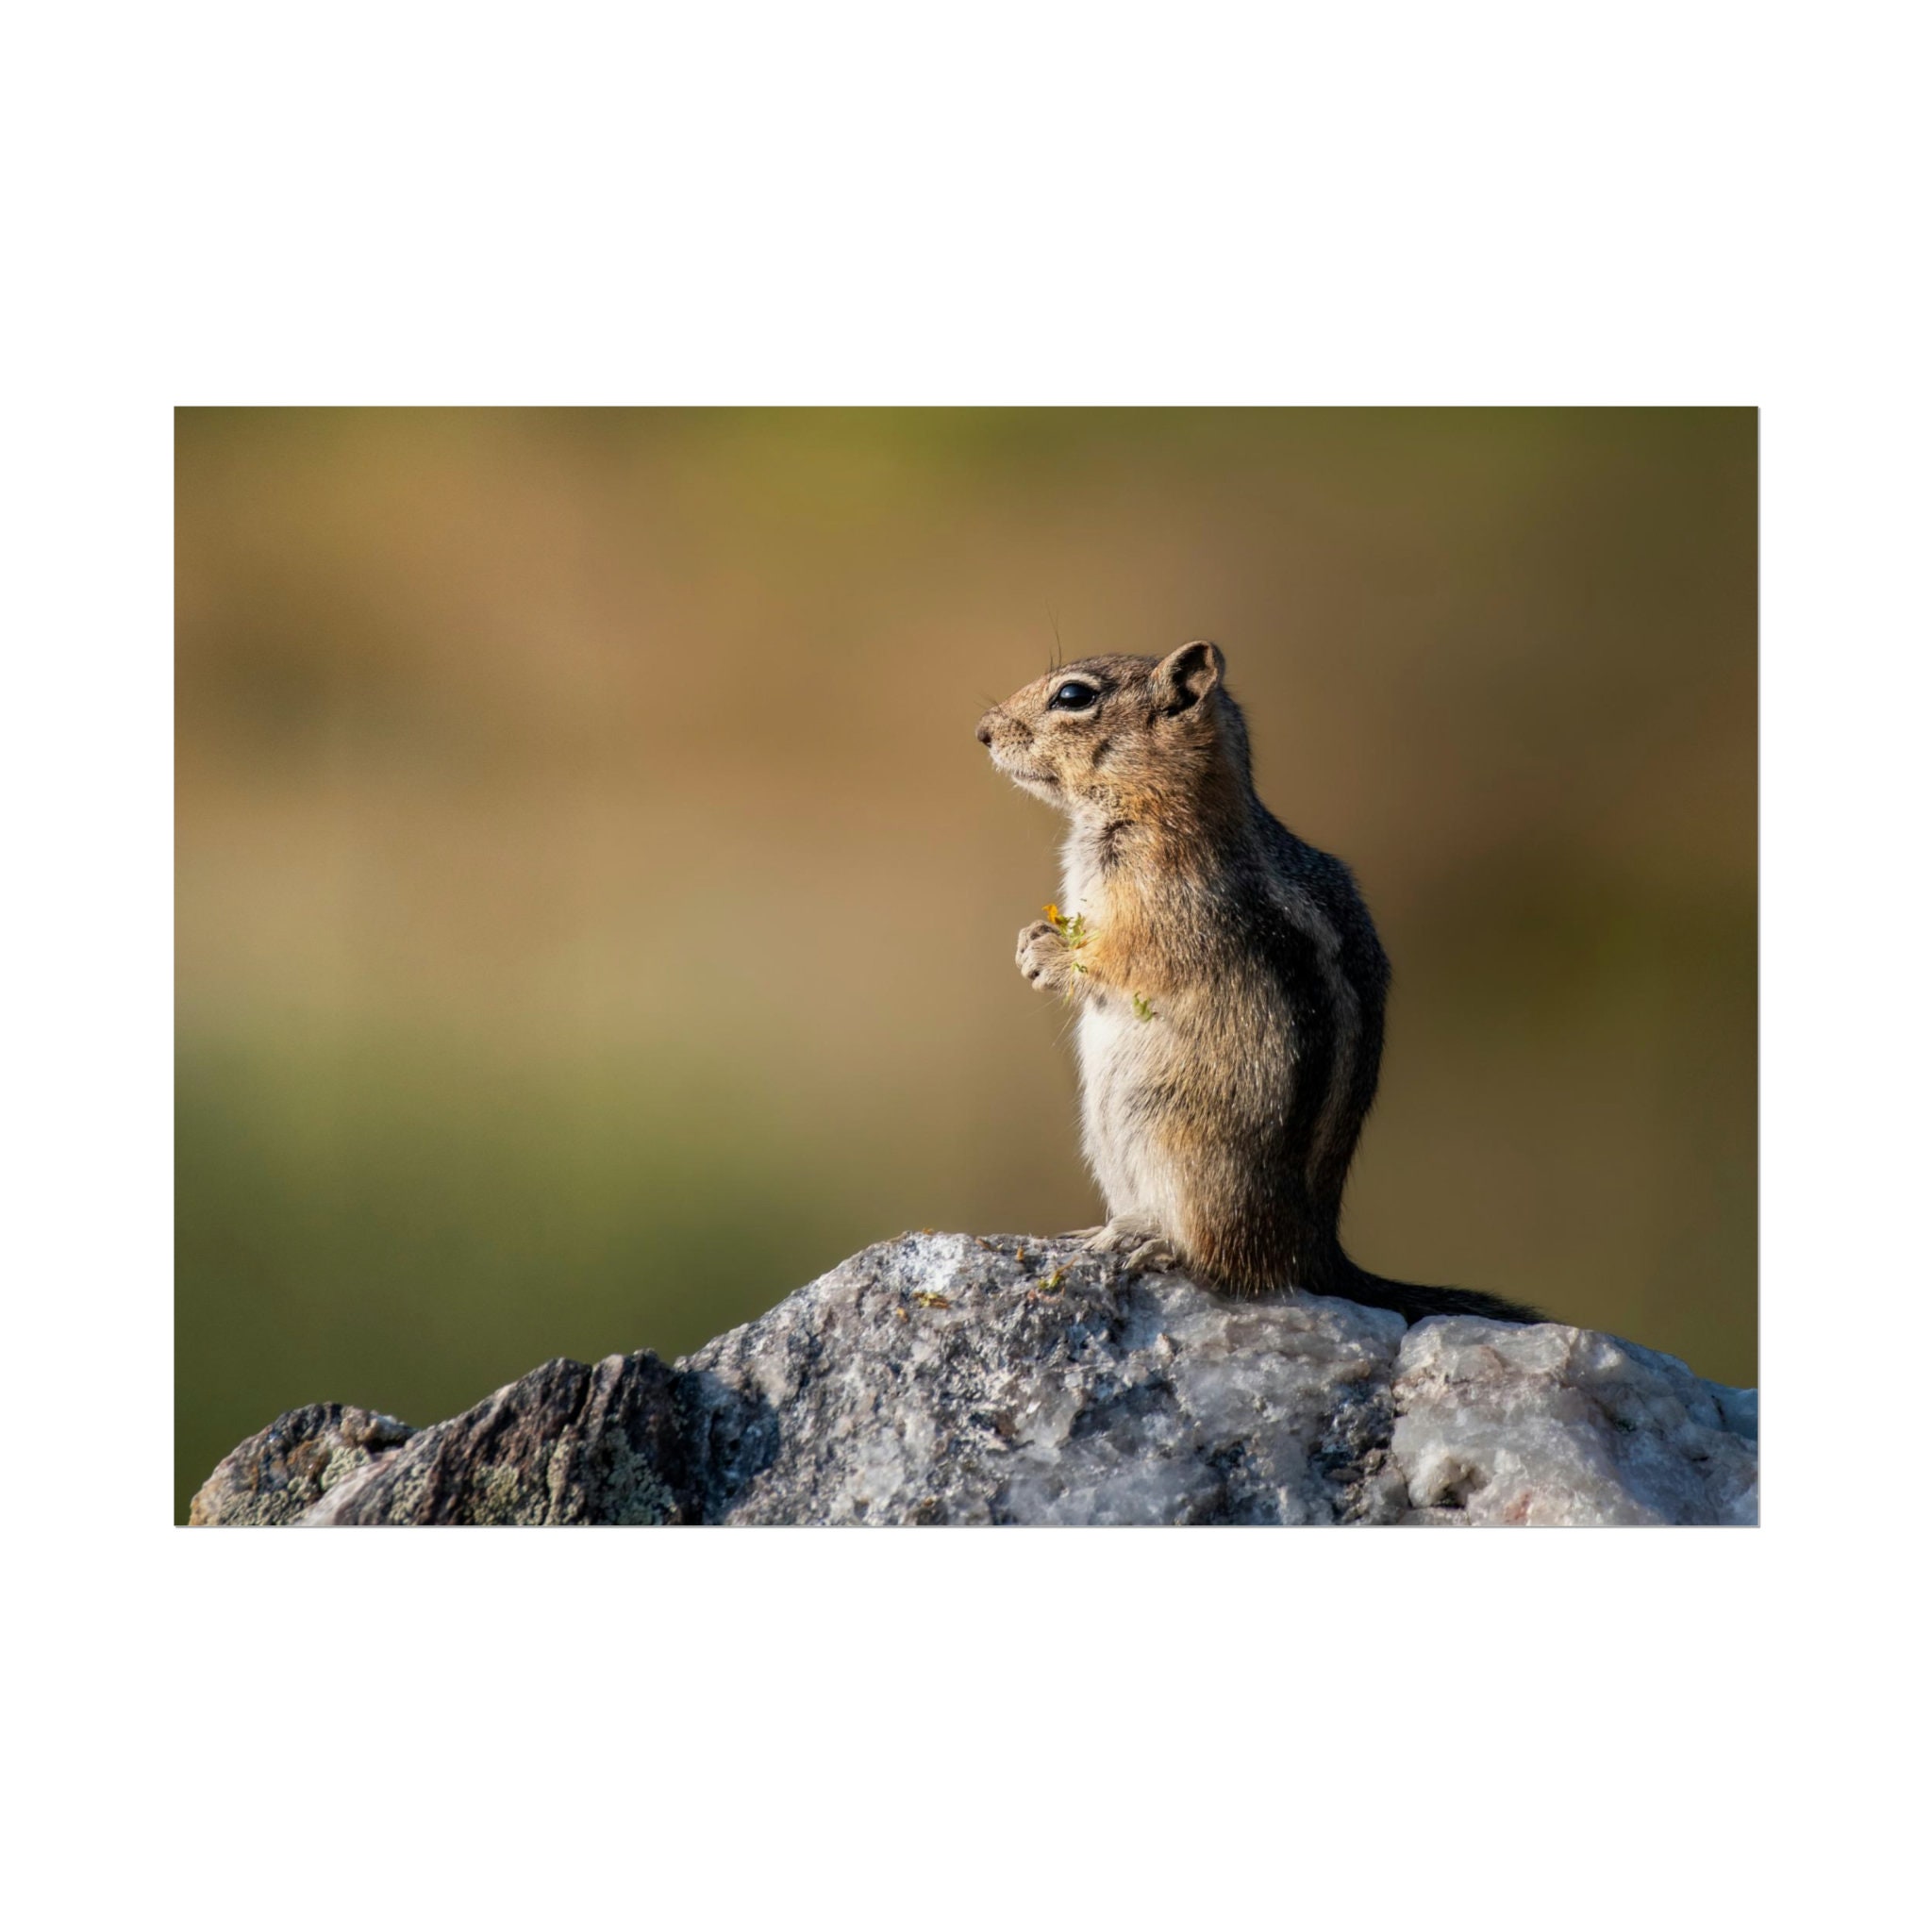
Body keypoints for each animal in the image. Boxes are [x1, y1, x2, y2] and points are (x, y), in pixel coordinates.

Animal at [975, 639, 1540, 1327]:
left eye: (1074, 697)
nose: (982, 732)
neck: (1162, 803)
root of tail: (1312, 1247)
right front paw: (1030, 938)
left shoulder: (1166, 913)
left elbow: (1119, 962)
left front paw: (1047, 957)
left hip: (1182, 1148)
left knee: (1230, 1262)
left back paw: (1153, 1246)